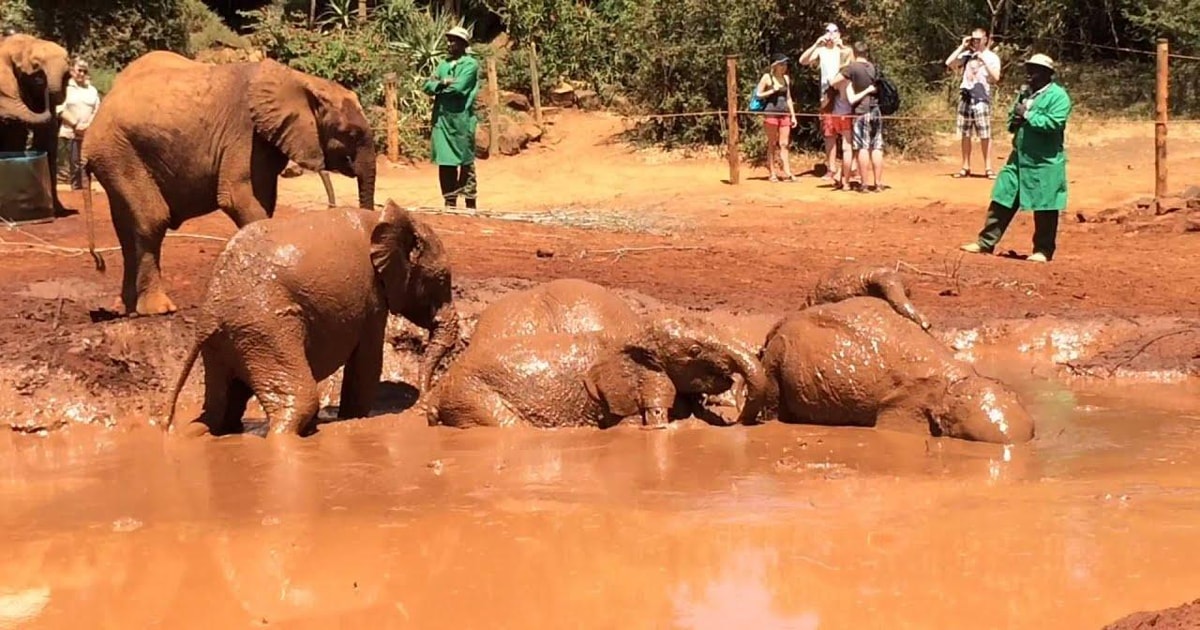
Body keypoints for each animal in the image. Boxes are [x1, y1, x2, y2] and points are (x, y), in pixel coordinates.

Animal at [80, 51, 378, 316]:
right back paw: (158, 310)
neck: (300, 80)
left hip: (114, 158)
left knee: (125, 227)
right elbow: (237, 197)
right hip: (118, 152)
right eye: (350, 133)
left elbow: (263, 202)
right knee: (152, 219)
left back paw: (129, 309)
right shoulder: (244, 133)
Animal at [164, 201, 460, 438]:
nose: (423, 404)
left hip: (225, 343)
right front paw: (353, 419)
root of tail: (209, 314)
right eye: (441, 279)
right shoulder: (372, 297)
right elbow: (367, 362)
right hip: (264, 328)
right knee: (299, 401)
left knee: (219, 411)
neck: (386, 218)